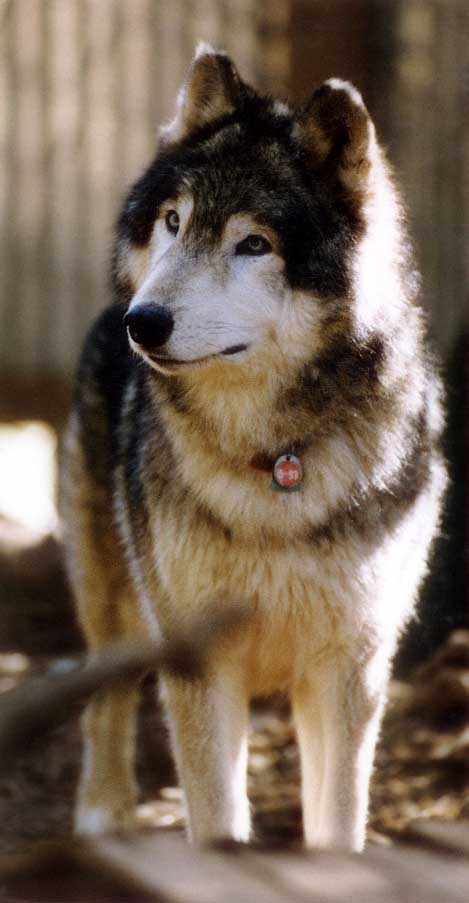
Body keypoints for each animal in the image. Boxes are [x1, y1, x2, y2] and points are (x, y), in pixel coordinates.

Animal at [62, 43, 447, 851]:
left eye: (253, 244)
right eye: (174, 222)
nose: (144, 322)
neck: (277, 458)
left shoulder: (349, 669)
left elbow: (336, 823)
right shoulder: (199, 666)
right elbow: (216, 819)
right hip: (114, 601)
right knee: (102, 699)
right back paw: (103, 815)